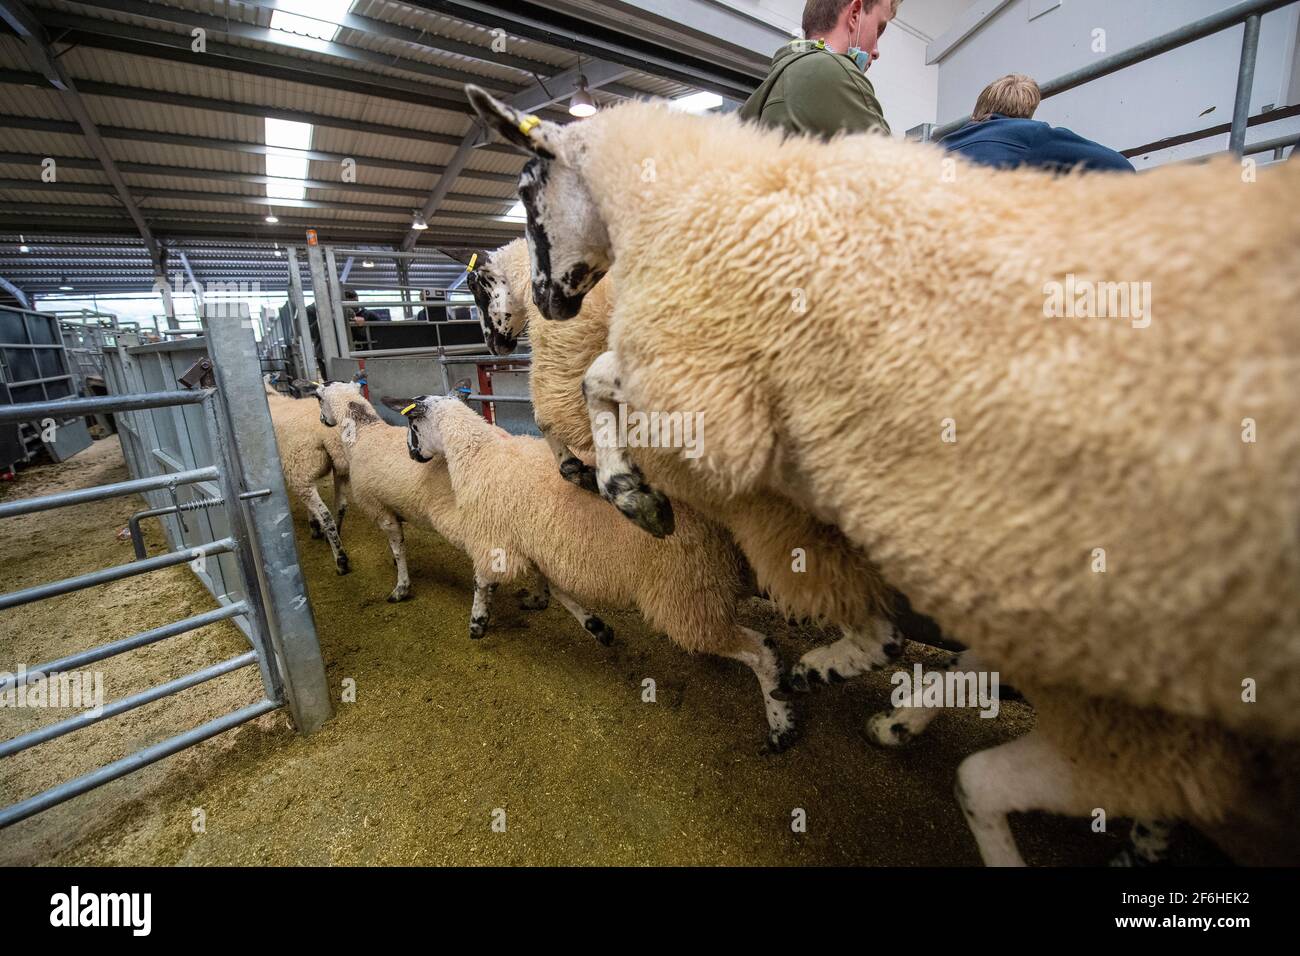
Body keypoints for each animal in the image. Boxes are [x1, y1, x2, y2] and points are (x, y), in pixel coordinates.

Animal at [263, 375, 352, 574]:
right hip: (337, 468)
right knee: (340, 506)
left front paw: (314, 525)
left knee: (326, 516)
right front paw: (314, 524)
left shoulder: (300, 474)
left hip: (298, 472)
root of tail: (329, 434)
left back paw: (341, 560)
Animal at [391, 392, 796, 751]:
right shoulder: (535, 545)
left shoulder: (494, 542)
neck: (477, 454)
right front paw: (589, 623)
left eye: (411, 425)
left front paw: (477, 623)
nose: (411, 454)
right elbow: (556, 590)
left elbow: (482, 583)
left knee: (760, 650)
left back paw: (781, 725)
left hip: (681, 589)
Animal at [468, 237, 915, 700]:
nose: (493, 348)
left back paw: (809, 672)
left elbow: (548, 419)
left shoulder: (565, 373)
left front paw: (582, 473)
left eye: (476, 291)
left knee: (876, 633)